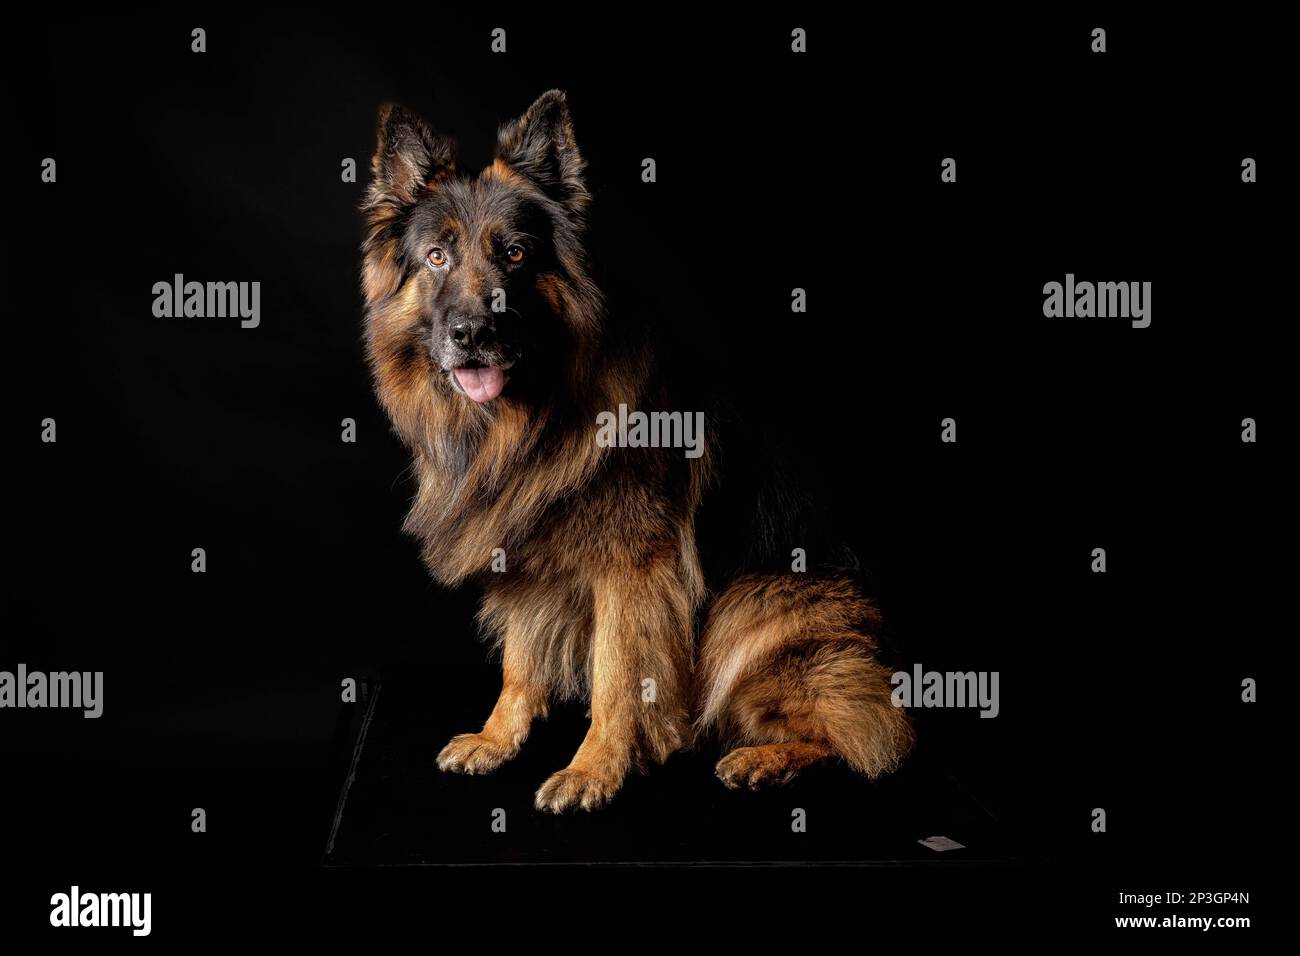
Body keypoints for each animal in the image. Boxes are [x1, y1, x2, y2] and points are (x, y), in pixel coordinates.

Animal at [358, 89, 915, 811]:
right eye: (436, 258)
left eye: (515, 254)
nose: (473, 334)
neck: (529, 420)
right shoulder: (525, 548)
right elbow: (519, 662)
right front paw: (497, 739)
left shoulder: (633, 571)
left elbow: (616, 679)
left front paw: (595, 769)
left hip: (753, 606)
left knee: (869, 734)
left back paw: (765, 758)